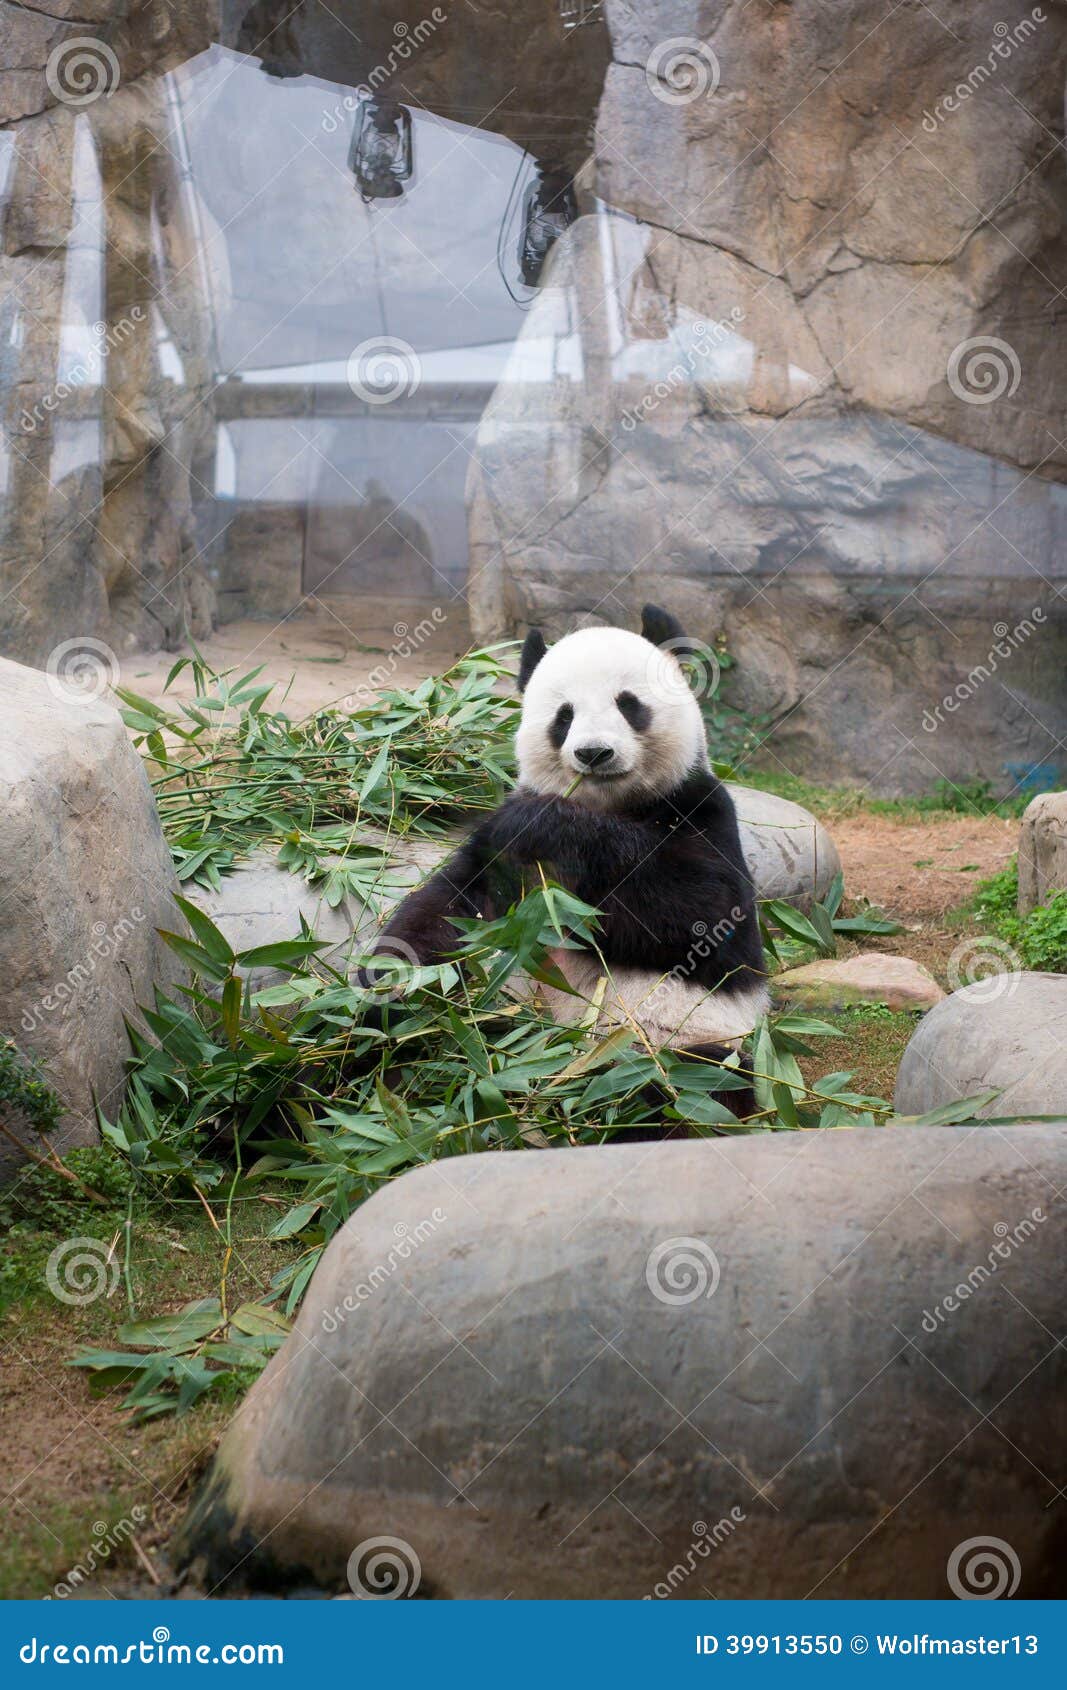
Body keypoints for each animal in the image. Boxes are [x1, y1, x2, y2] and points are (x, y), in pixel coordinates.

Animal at [369, 605, 770, 1117]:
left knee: (678, 1096)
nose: (594, 752)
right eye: (564, 716)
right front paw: (389, 981)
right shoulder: (497, 859)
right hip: (500, 1012)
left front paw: (546, 825)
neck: (607, 806)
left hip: (678, 1048)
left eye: (628, 704)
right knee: (431, 1043)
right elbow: (452, 908)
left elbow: (700, 912)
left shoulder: (701, 810)